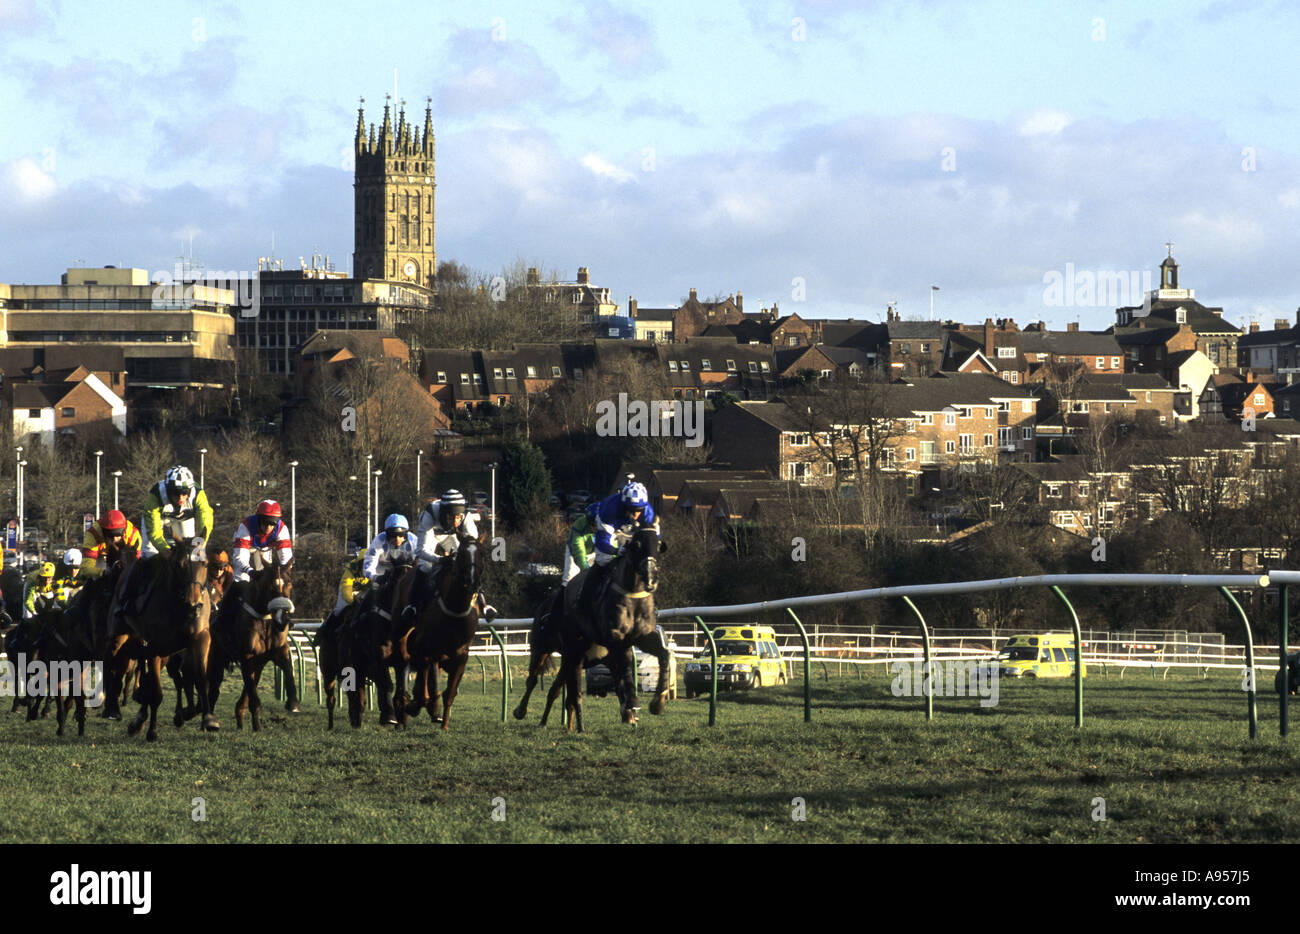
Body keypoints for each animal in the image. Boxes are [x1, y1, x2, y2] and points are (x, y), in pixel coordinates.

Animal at [107, 540, 218, 741]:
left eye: (205, 564)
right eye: (179, 565)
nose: (194, 604)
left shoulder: (200, 637)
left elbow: (200, 678)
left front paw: (208, 719)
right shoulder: (153, 647)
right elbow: (155, 691)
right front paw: (152, 730)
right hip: (120, 638)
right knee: (116, 665)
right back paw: (115, 710)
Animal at [391, 531, 485, 731]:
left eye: (482, 554)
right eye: (462, 555)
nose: (473, 583)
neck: (455, 609)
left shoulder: (461, 656)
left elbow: (449, 692)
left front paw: (444, 724)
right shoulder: (426, 650)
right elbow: (424, 688)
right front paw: (413, 706)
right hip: (401, 634)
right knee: (403, 663)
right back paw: (402, 706)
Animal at [538, 527, 670, 732]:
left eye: (658, 546)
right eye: (637, 546)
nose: (651, 577)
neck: (632, 595)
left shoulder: (641, 637)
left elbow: (664, 654)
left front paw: (657, 702)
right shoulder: (615, 638)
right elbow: (625, 664)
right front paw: (632, 703)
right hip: (566, 648)